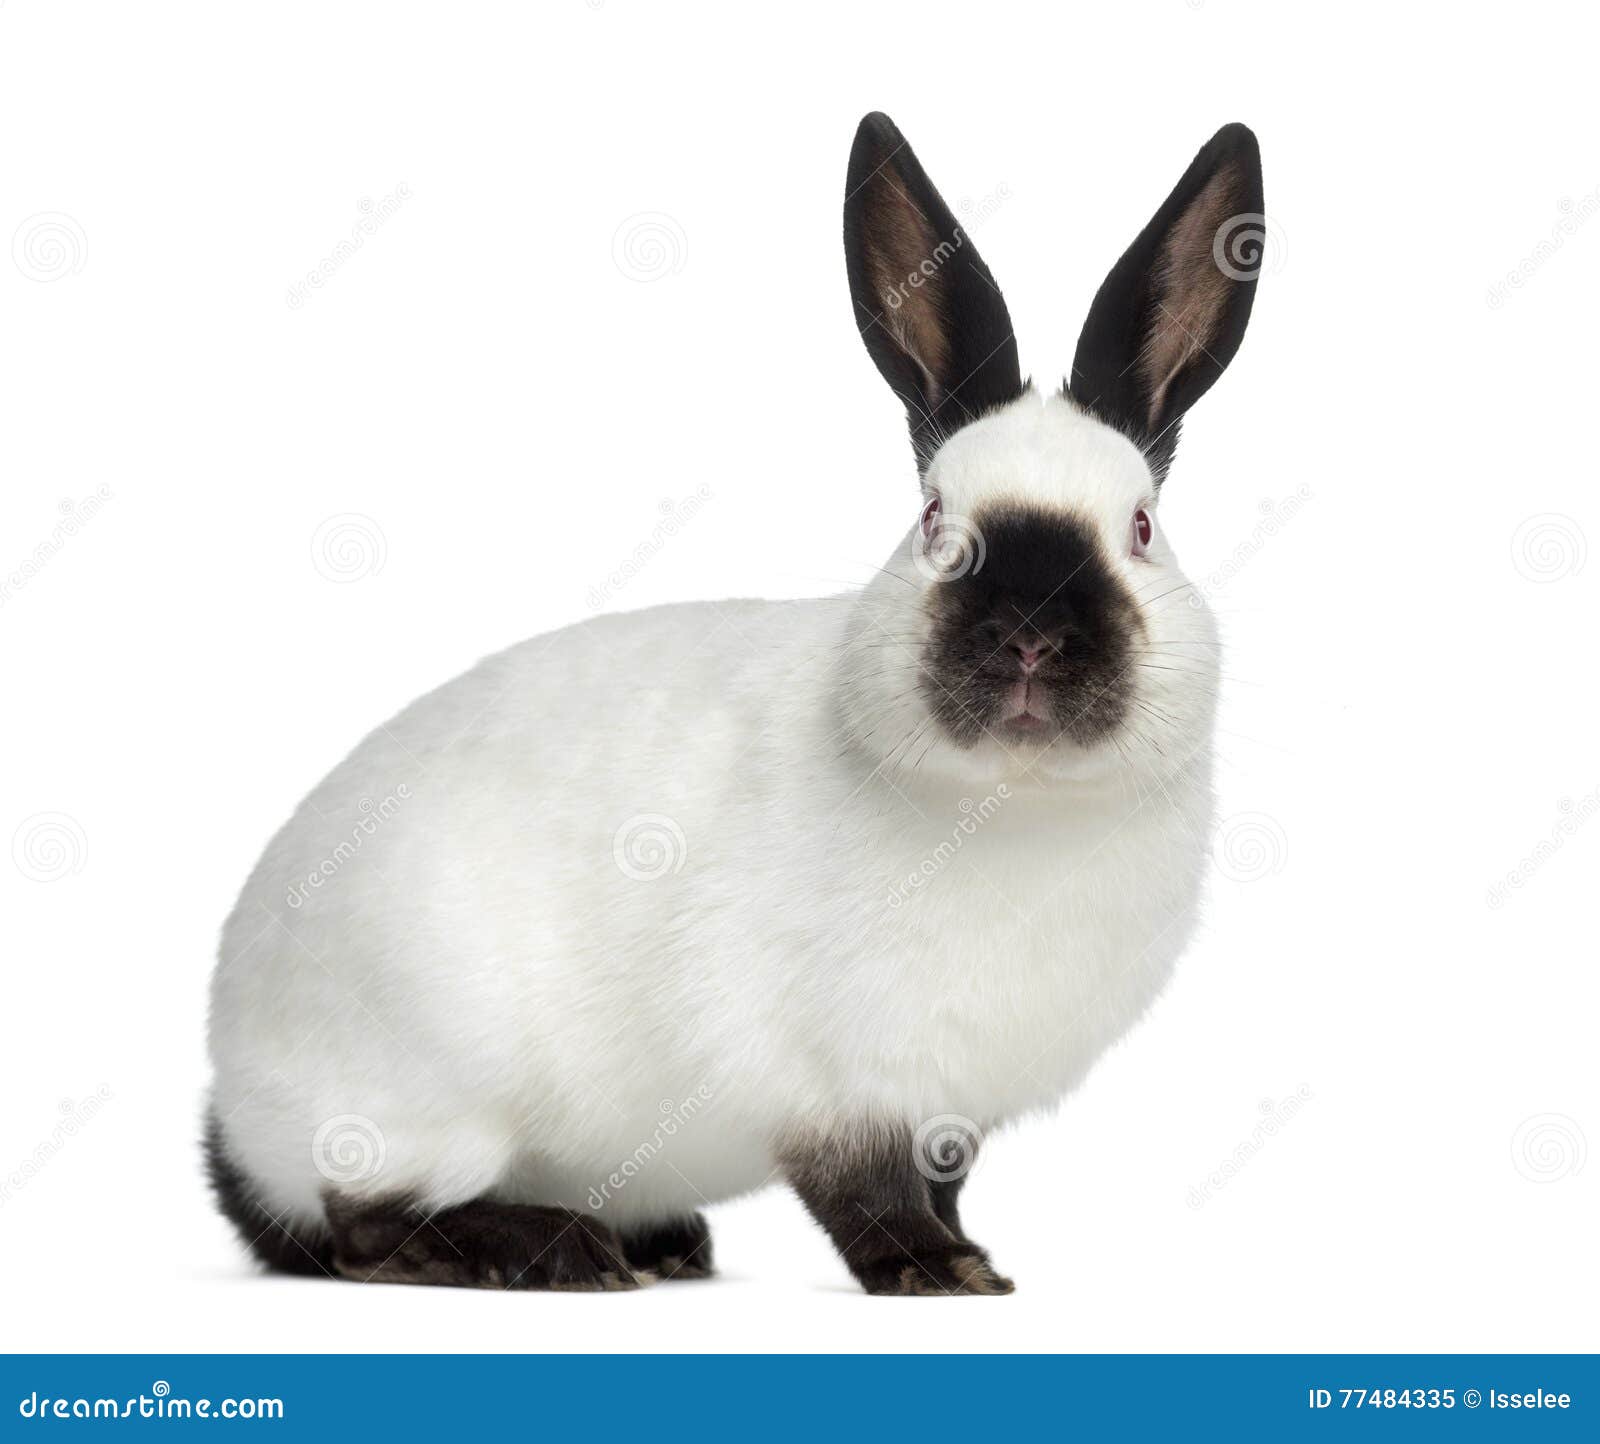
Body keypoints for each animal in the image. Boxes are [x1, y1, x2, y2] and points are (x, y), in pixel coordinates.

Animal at [206, 112, 1263, 1295]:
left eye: (1140, 528)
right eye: (935, 522)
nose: (1029, 633)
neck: (1015, 805)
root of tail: (235, 1104)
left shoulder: (947, 1107)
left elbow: (939, 1180)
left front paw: (970, 1255)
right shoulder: (835, 1085)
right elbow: (865, 1194)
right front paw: (937, 1274)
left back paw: (662, 1244)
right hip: (423, 1097)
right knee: (362, 1227)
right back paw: (560, 1253)